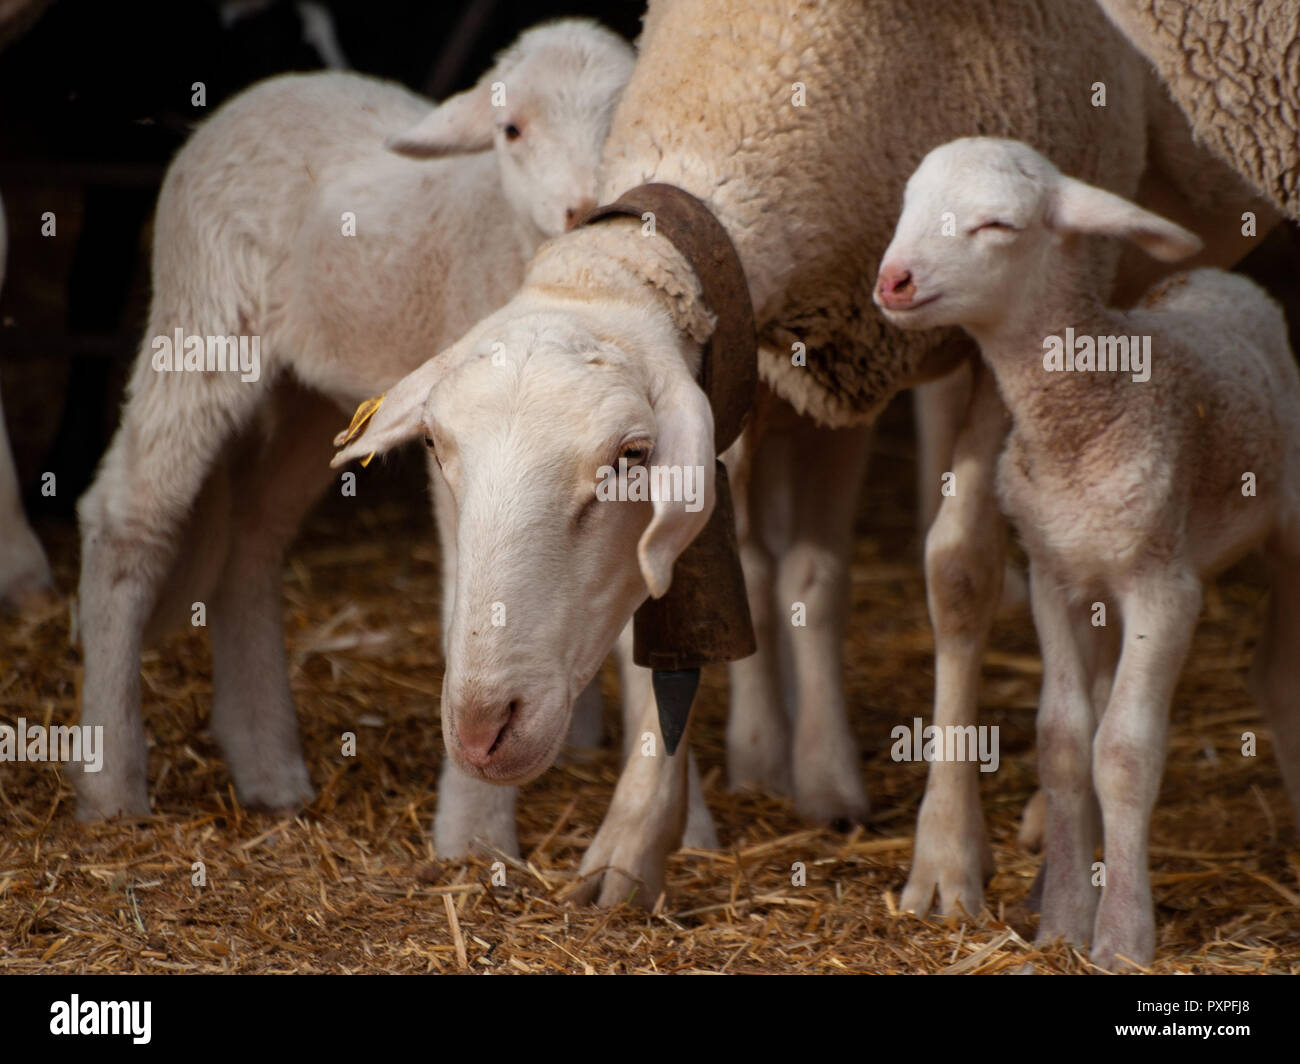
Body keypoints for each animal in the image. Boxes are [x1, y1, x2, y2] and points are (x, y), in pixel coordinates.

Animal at [72, 19, 658, 851]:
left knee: (251, 535)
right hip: (200, 322)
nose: (583, 208)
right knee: (127, 517)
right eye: (511, 130)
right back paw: (112, 784)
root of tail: (267, 90)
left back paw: (269, 769)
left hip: (312, 392)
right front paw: (475, 839)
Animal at [330, 0, 1274, 908]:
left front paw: (947, 857)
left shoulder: (1008, 325)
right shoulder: (745, 352)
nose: (481, 729)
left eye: (631, 456)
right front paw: (633, 839)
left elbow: (960, 574)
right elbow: (702, 576)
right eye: (441, 449)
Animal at [873, 135, 1300, 968]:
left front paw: (1122, 936)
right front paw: (1066, 920)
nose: (893, 279)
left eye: (997, 225)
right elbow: (1065, 739)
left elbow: (1125, 752)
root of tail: (1219, 280)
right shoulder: (1055, 574)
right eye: (906, 205)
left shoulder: (1165, 586)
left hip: (1289, 523)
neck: (1086, 404)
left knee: (1281, 672)